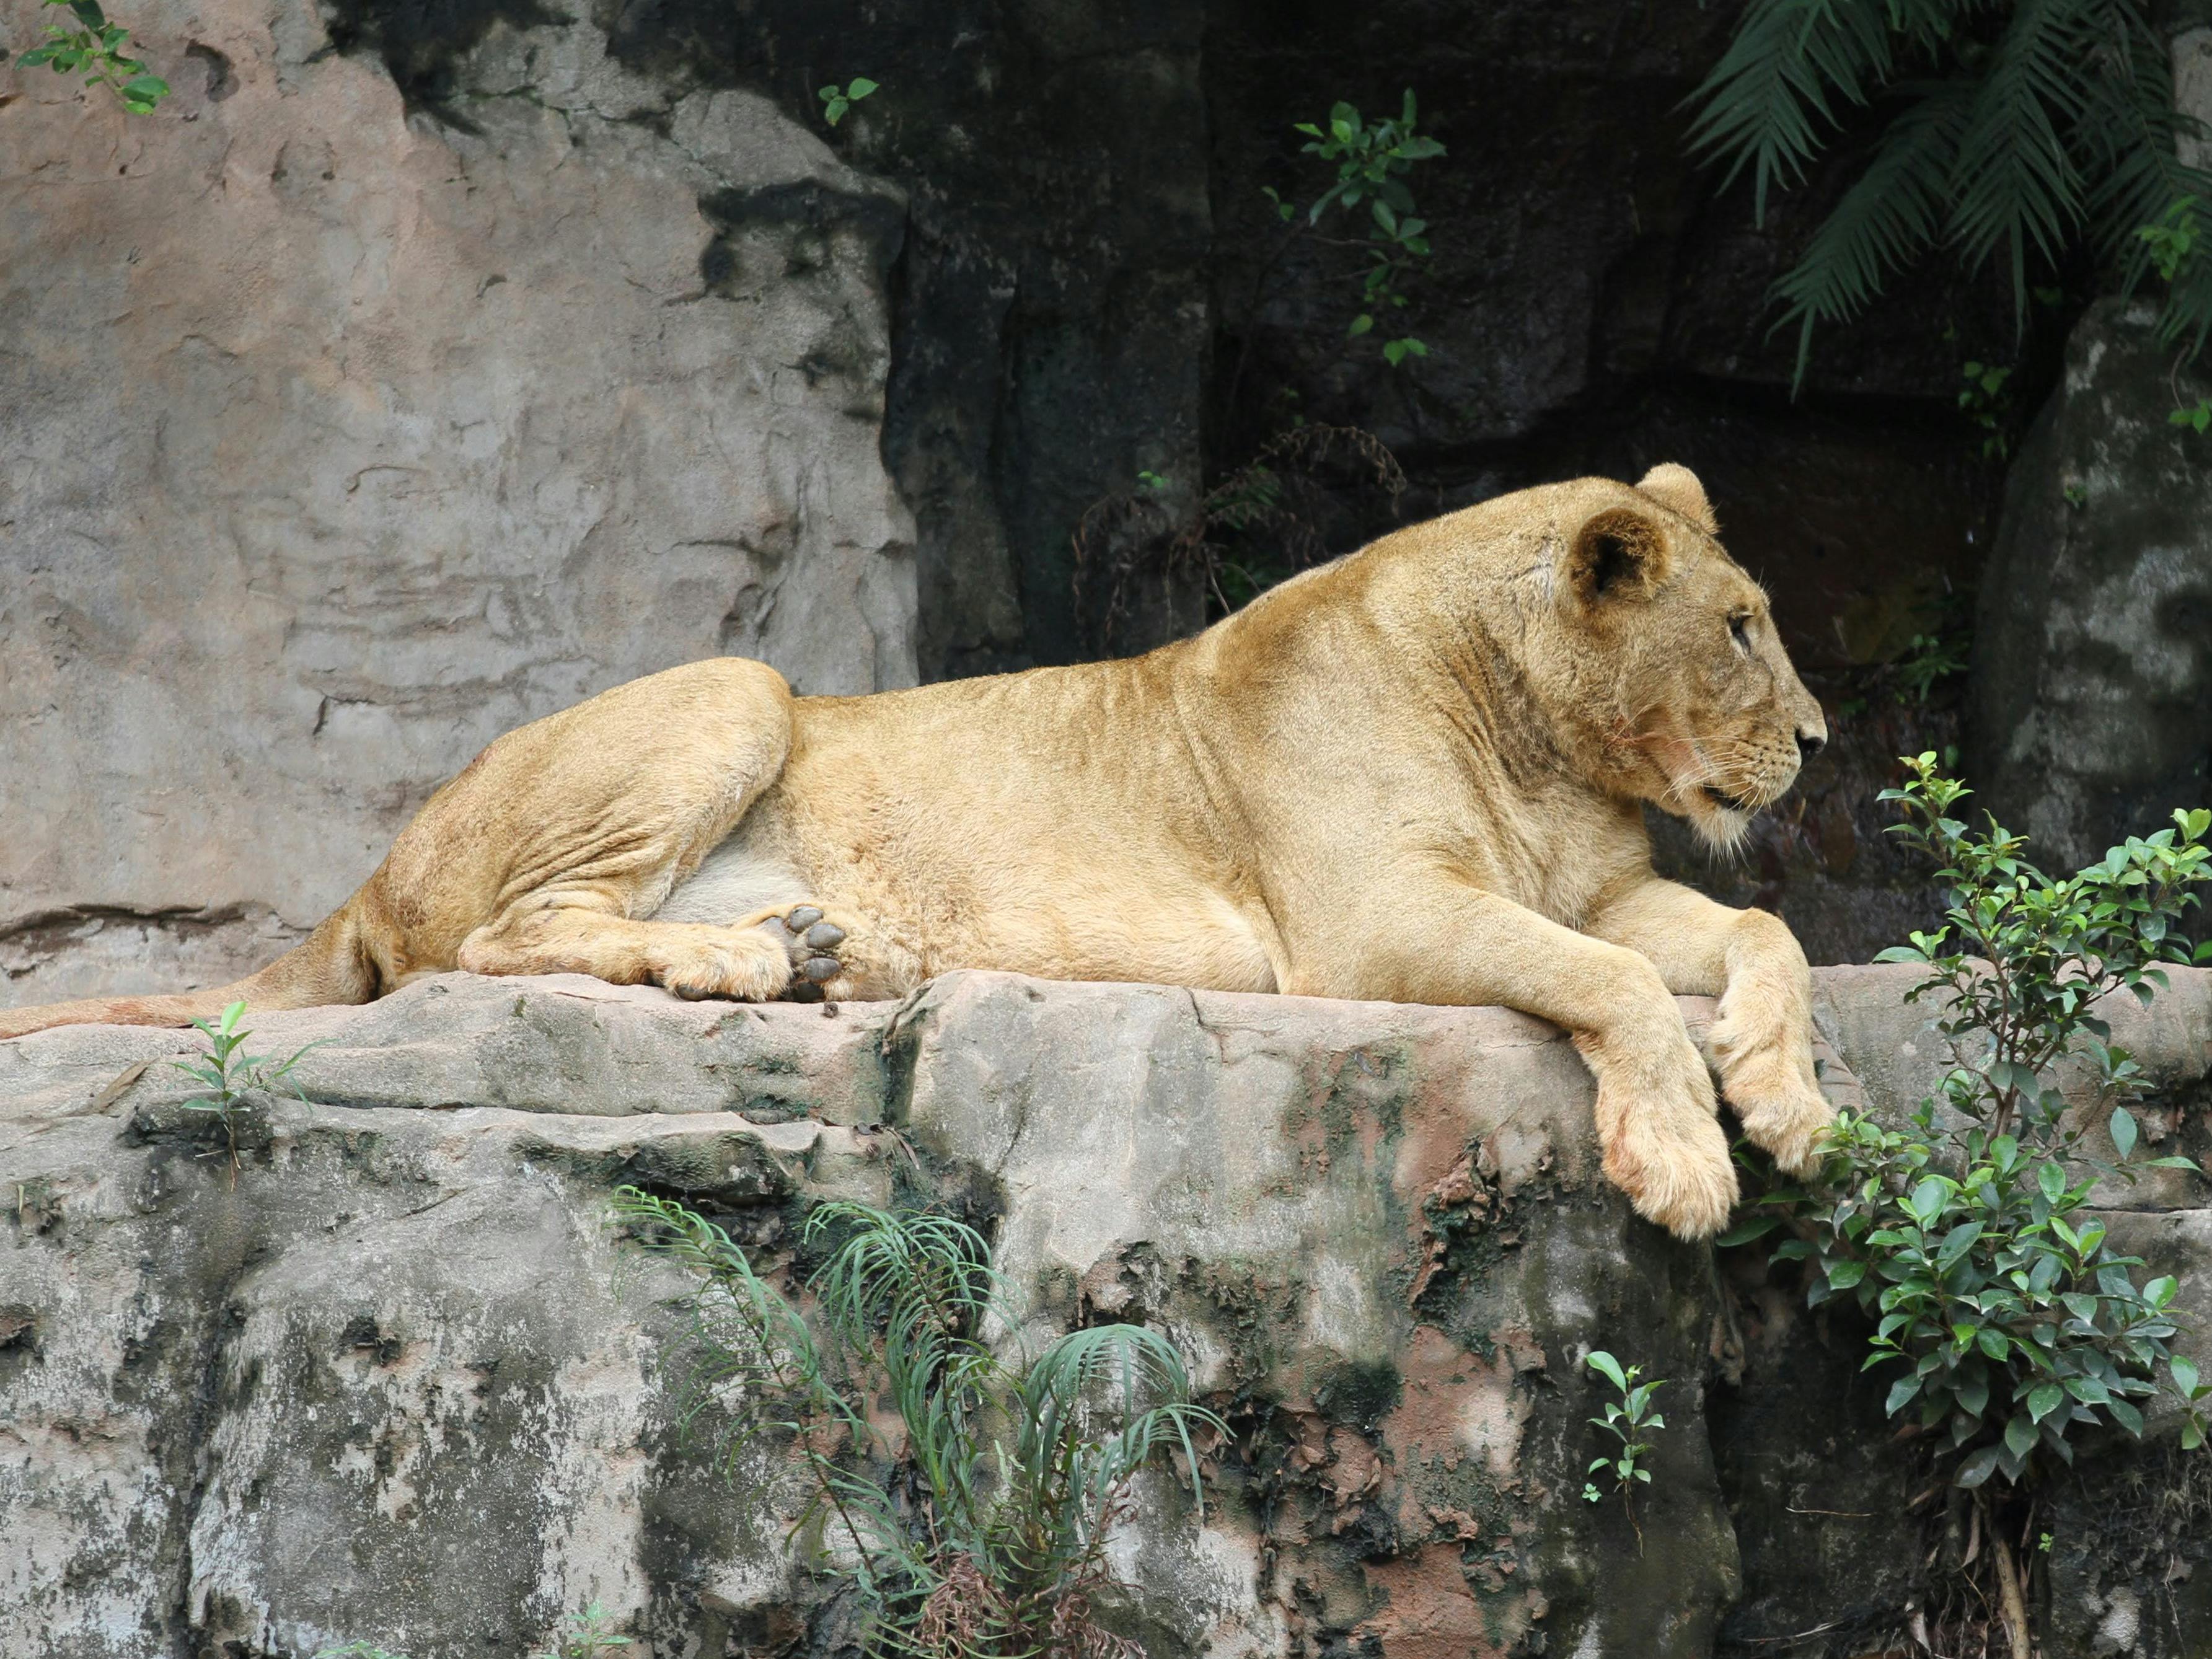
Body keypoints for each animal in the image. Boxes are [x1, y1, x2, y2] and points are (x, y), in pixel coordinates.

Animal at [1, 464, 1832, 1237]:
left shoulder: (1602, 883)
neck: (1538, 737)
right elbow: (1608, 986)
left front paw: (1788, 1098)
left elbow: (1765, 941)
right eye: (1742, 626)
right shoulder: (1365, 926)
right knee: (497, 938)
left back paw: (813, 951)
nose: (1820, 741)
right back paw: (752, 953)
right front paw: (1685, 1161)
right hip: (730, 686)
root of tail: (368, 870)